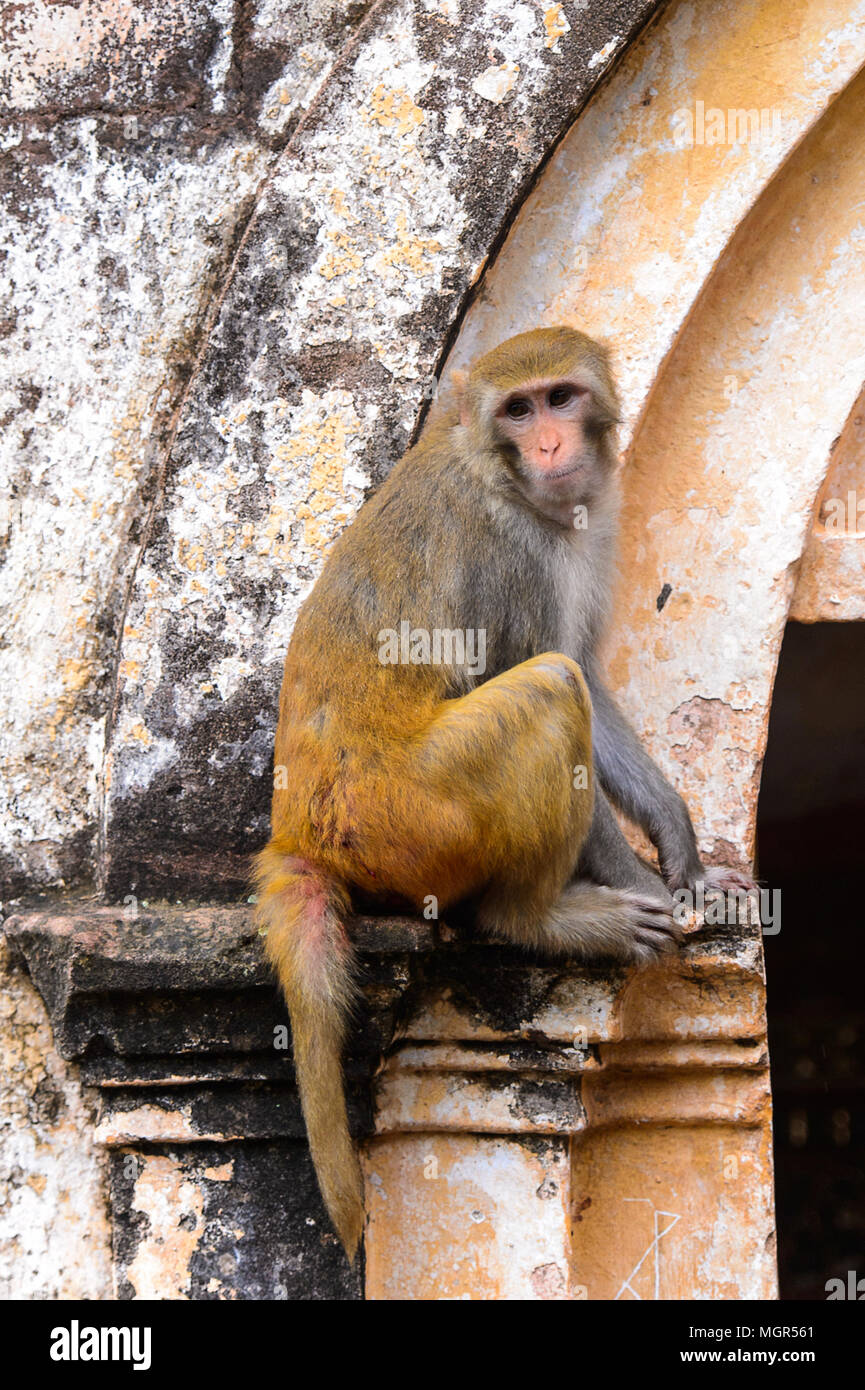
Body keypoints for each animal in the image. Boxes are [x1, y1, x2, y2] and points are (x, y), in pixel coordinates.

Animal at [253, 325, 751, 1261]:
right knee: (546, 687)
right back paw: (537, 918)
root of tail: (298, 830)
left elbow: (589, 675)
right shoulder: (511, 555)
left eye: (558, 398)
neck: (510, 484)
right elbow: (545, 667)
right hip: (411, 817)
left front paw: (685, 854)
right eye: (517, 410)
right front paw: (646, 886)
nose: (550, 445)